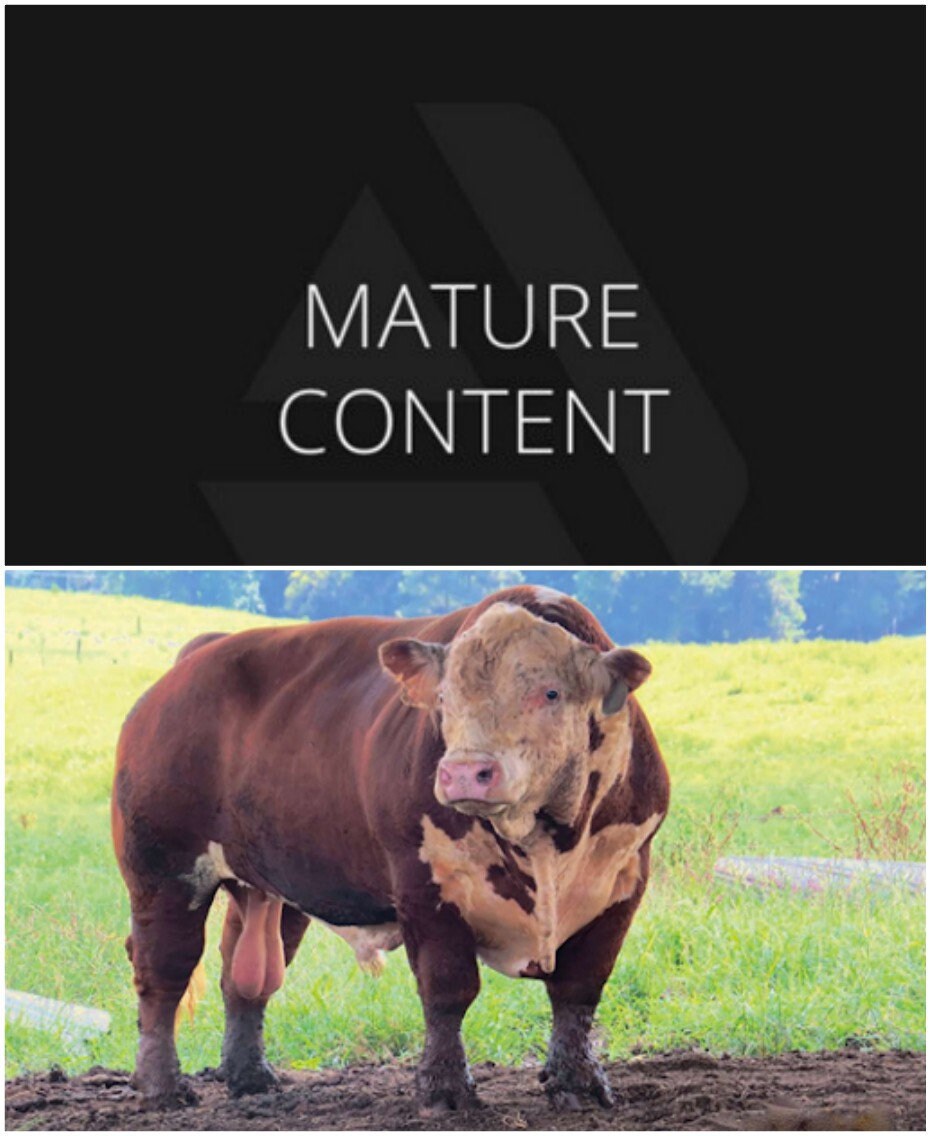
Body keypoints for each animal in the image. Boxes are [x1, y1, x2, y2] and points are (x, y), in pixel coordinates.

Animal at [112, 586, 670, 1112]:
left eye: (550, 692)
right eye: (443, 699)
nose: (465, 772)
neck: (543, 843)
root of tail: (198, 655)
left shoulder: (622, 883)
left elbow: (579, 988)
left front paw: (578, 1083)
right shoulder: (424, 885)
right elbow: (448, 989)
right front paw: (445, 1090)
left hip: (272, 885)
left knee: (244, 975)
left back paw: (250, 1077)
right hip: (162, 870)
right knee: (162, 972)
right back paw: (162, 1086)